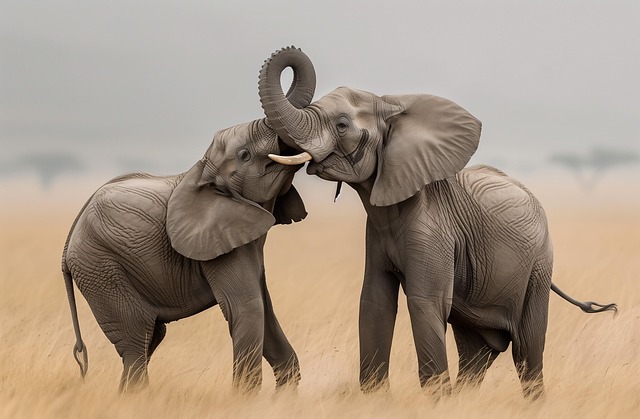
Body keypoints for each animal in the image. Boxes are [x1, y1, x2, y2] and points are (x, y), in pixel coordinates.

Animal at [61, 51, 317, 392]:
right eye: (245, 155)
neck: (202, 169)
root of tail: (66, 248)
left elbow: (265, 309)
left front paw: (285, 393)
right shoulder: (219, 246)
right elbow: (247, 309)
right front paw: (245, 398)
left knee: (149, 339)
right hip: (100, 268)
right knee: (137, 339)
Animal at [258, 47, 617, 399]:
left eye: (343, 124)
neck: (392, 106)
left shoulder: (433, 229)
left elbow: (424, 302)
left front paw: (432, 400)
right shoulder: (377, 230)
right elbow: (375, 302)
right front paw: (376, 398)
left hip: (538, 265)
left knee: (527, 348)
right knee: (475, 350)